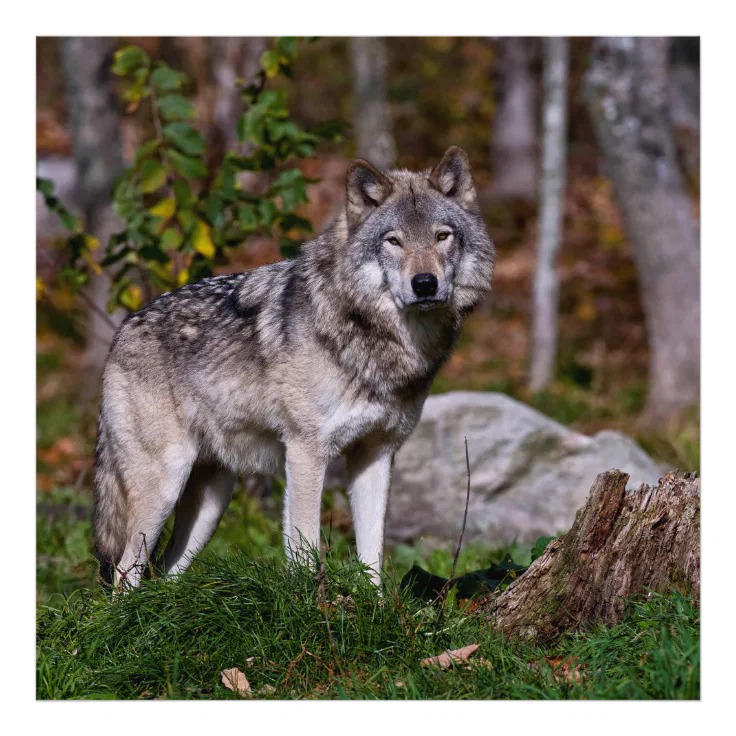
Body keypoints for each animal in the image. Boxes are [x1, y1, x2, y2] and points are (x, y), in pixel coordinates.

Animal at [93, 146, 495, 588]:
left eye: (442, 236)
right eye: (394, 241)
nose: (425, 283)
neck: (375, 340)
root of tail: (124, 328)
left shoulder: (376, 453)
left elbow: (373, 556)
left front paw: (373, 604)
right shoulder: (305, 452)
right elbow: (303, 549)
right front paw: (312, 602)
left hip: (211, 504)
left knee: (163, 577)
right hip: (164, 486)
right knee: (123, 575)